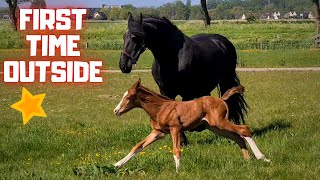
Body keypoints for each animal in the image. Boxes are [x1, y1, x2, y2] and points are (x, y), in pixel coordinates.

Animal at [114, 79, 268, 171]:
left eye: (128, 97)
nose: (116, 111)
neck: (160, 108)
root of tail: (221, 99)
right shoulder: (158, 132)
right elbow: (137, 146)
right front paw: (117, 164)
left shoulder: (175, 129)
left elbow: (176, 150)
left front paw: (178, 171)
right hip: (215, 127)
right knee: (238, 137)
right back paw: (248, 161)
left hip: (220, 122)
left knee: (244, 129)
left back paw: (262, 158)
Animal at [120, 12, 248, 144]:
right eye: (124, 37)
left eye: (135, 37)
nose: (123, 65)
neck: (172, 58)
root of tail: (223, 41)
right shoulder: (166, 92)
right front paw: (182, 140)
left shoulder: (188, 93)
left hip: (225, 80)